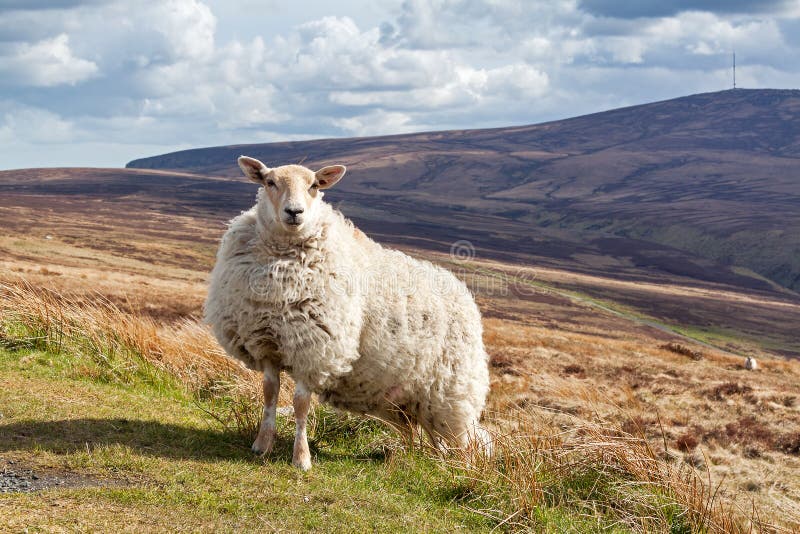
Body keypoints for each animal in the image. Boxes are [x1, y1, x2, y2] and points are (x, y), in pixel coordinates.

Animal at [204, 156, 491, 470]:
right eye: (270, 182)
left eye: (314, 185)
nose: (295, 212)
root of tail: (463, 293)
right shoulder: (267, 342)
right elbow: (270, 393)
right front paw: (262, 445)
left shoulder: (313, 349)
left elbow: (300, 404)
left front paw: (301, 457)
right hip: (407, 398)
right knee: (417, 432)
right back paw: (409, 458)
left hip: (451, 393)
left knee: (467, 442)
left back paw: (461, 469)